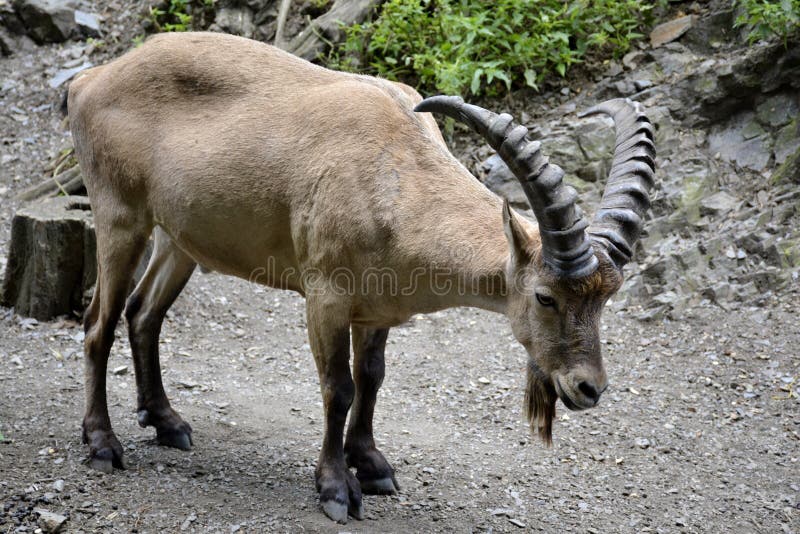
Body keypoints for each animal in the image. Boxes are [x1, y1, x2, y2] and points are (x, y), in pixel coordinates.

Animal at [67, 31, 655, 524]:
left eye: (608, 298)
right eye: (545, 296)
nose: (588, 388)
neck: (395, 174)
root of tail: (90, 80)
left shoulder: (377, 308)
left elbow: (371, 377)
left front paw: (371, 465)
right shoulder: (325, 296)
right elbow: (338, 387)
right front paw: (335, 489)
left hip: (179, 237)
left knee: (144, 312)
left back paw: (167, 422)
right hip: (120, 216)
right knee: (99, 322)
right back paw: (102, 443)